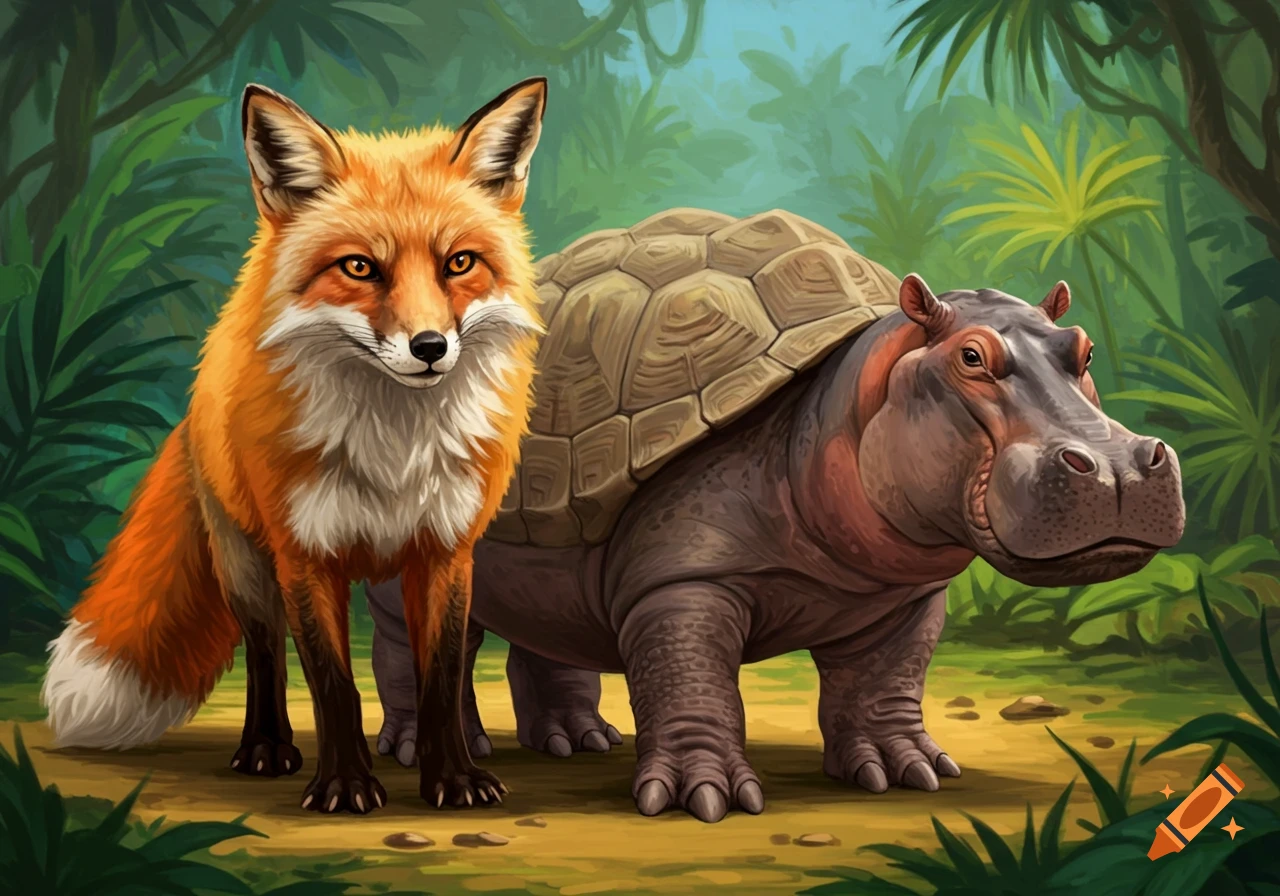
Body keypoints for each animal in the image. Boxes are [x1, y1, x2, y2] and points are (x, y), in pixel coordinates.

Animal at [40, 78, 549, 814]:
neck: (393, 448)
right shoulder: (304, 553)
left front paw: (451, 777)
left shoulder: (445, 552)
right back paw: (266, 748)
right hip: (246, 566)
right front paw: (345, 784)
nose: (430, 347)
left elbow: (442, 677)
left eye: (459, 264)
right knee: (264, 655)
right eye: (360, 267)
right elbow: (332, 683)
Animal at [367, 270, 1184, 823]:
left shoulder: (902, 591)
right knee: (413, 624)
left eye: (1082, 350)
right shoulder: (680, 581)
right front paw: (704, 798)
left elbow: (886, 678)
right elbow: (692, 675)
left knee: (552, 611)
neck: (851, 394)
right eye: (972, 358)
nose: (1119, 467)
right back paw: (424, 753)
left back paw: (580, 742)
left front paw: (907, 771)